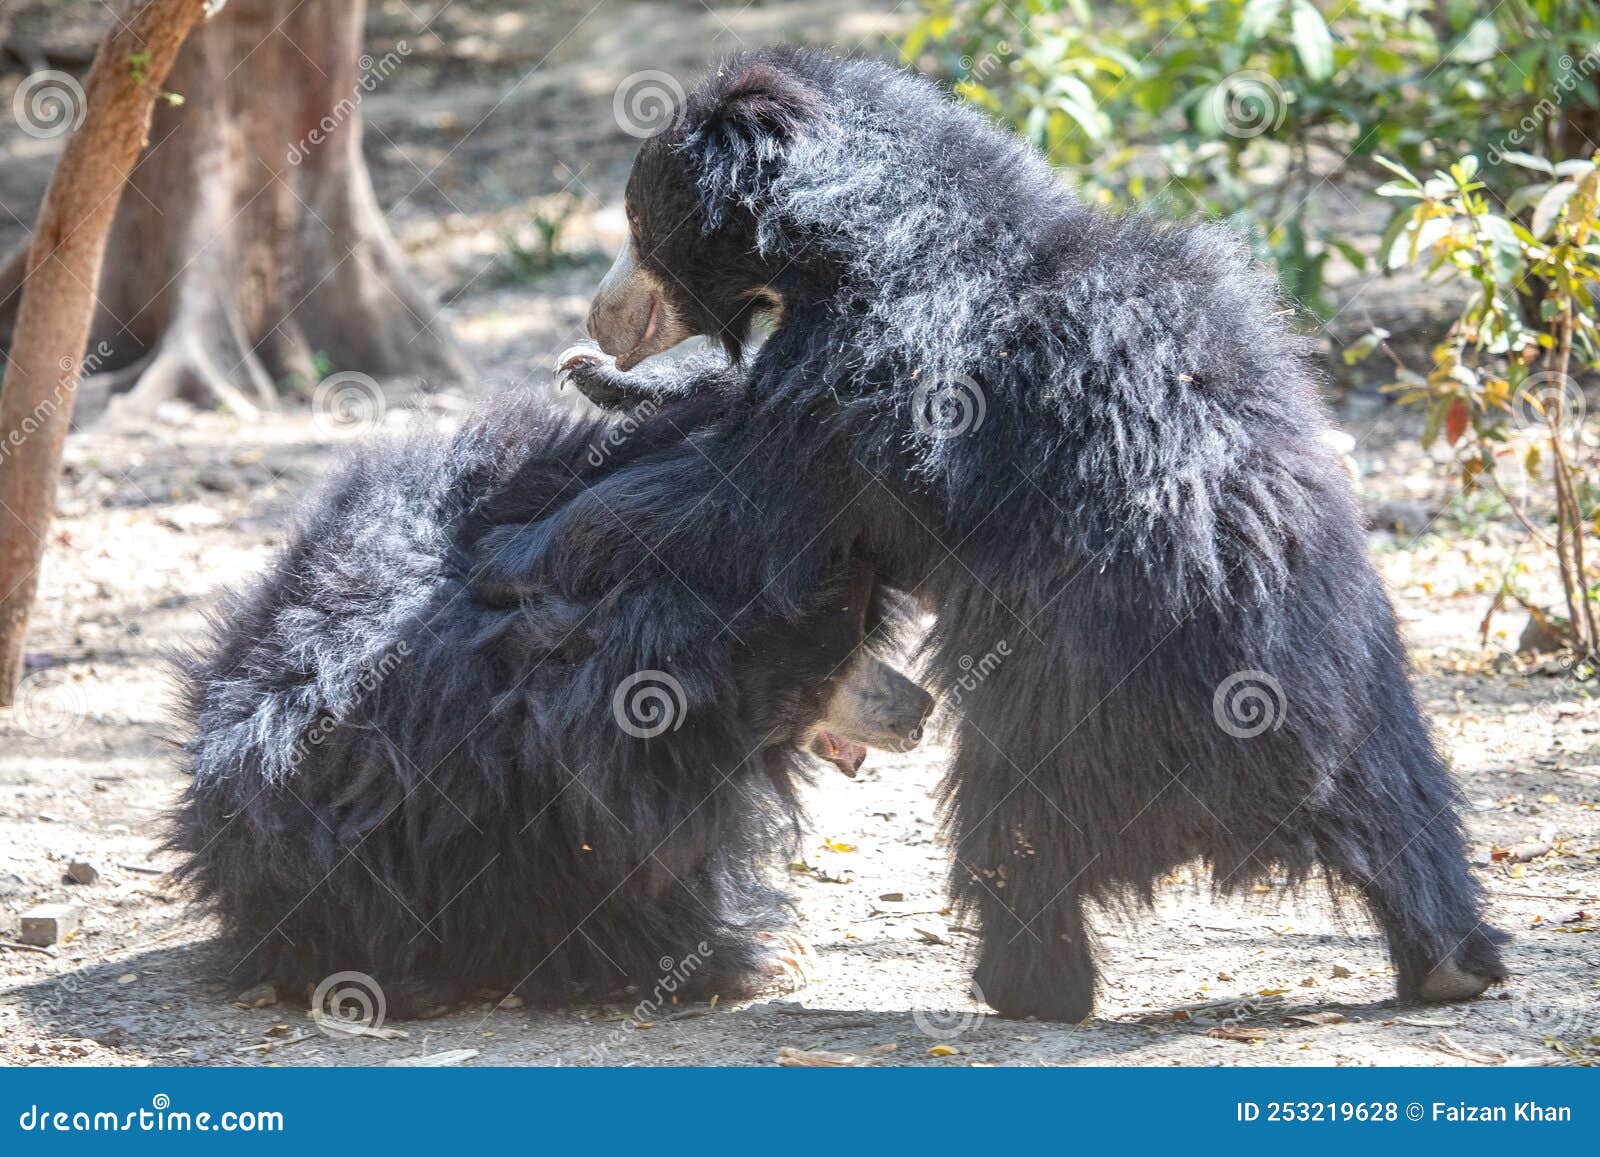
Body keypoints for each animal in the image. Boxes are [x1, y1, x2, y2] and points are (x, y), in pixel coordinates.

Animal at [502, 45, 1509, 1022]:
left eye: (640, 222)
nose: (597, 320)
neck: (873, 225)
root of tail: (1270, 773)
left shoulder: (879, 370)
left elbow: (761, 494)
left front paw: (585, 456)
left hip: (1070, 706)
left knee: (1016, 832)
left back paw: (1025, 984)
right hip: (1373, 703)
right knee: (1408, 823)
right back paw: (1452, 962)